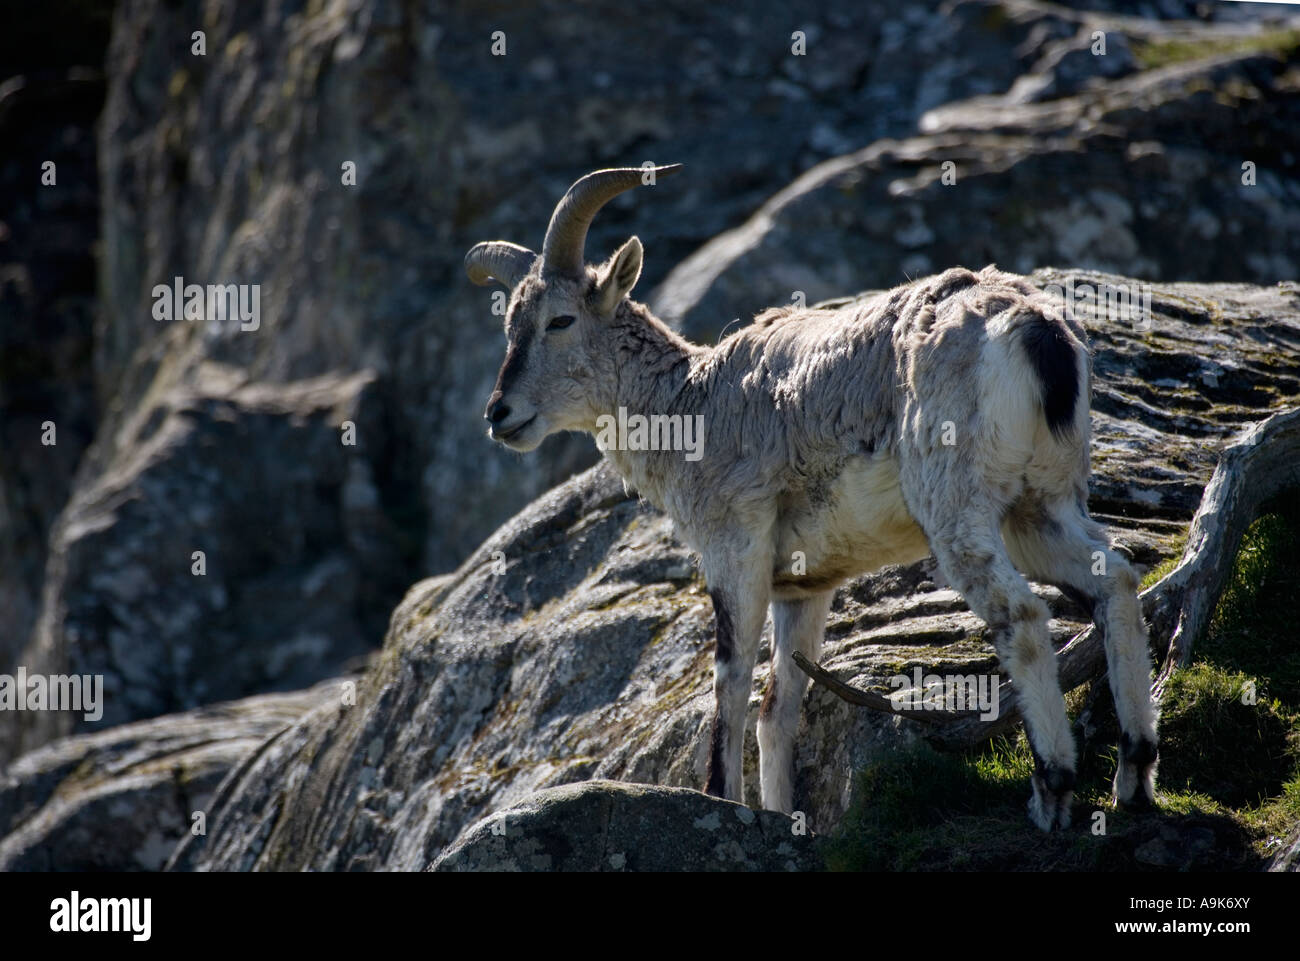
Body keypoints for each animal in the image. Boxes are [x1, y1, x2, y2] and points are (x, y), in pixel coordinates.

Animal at [465, 165, 1159, 831]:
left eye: (560, 319)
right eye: (508, 327)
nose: (499, 414)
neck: (690, 403)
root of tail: (1037, 331)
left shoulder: (736, 547)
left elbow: (731, 678)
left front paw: (721, 800)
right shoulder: (806, 584)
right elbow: (779, 706)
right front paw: (780, 815)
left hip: (958, 507)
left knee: (1021, 613)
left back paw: (1053, 791)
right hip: (1041, 504)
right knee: (1115, 581)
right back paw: (1133, 779)